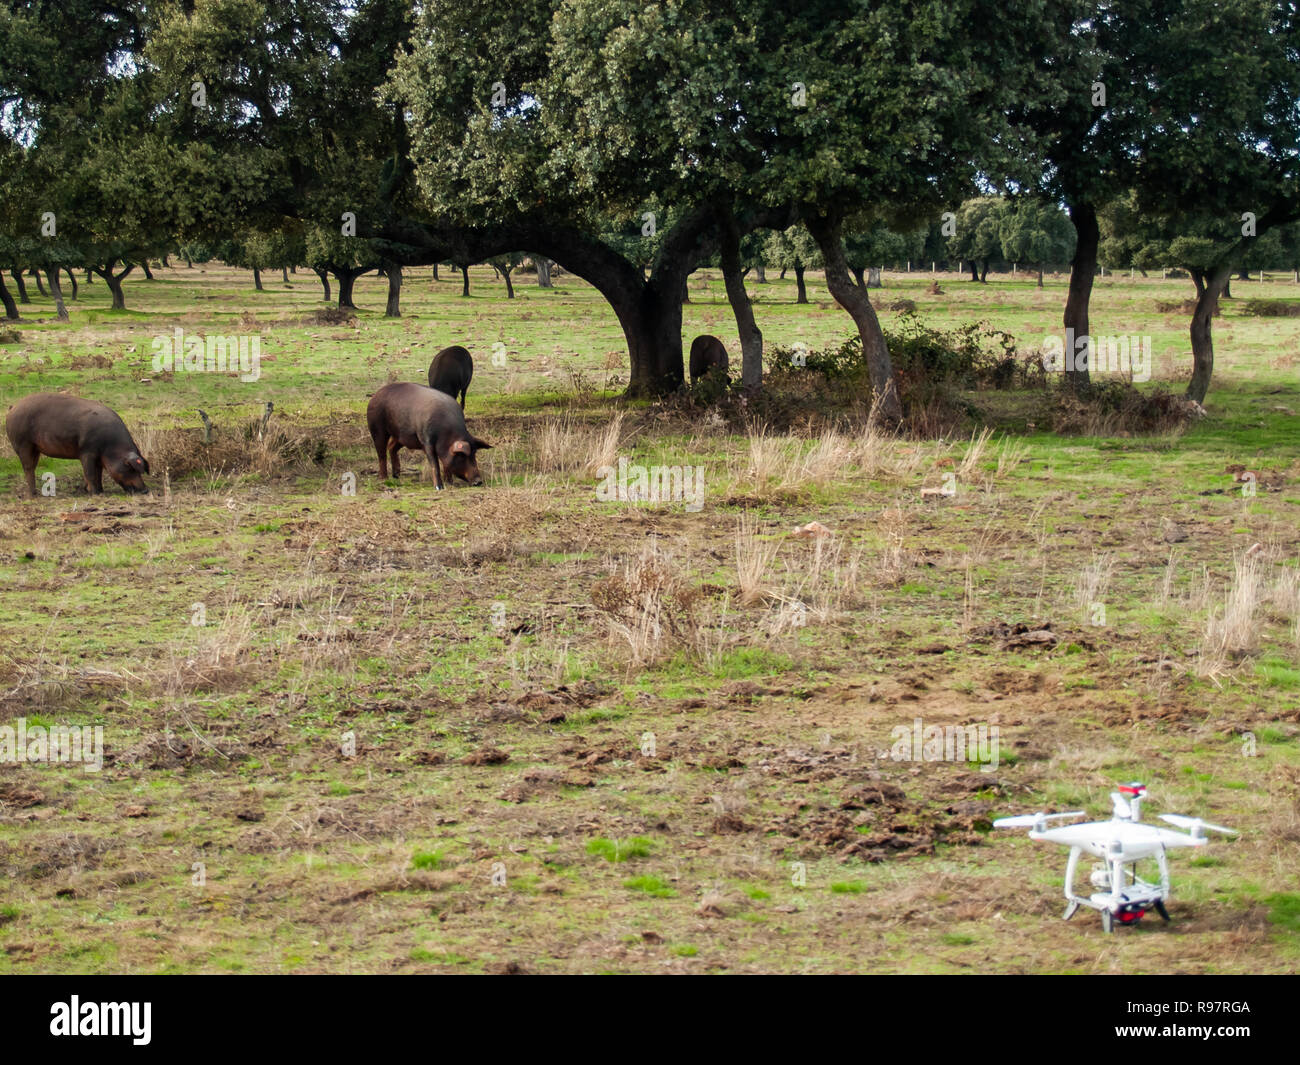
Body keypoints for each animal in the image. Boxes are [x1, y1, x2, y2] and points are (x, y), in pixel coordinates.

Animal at [5, 392, 150, 496]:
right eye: (130, 468)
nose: (145, 490)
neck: (112, 447)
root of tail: (13, 407)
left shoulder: (98, 458)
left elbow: (98, 473)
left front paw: (100, 491)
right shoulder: (87, 451)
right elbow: (90, 472)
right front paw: (95, 494)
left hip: (35, 448)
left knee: (32, 467)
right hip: (23, 443)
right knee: (28, 468)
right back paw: (33, 494)